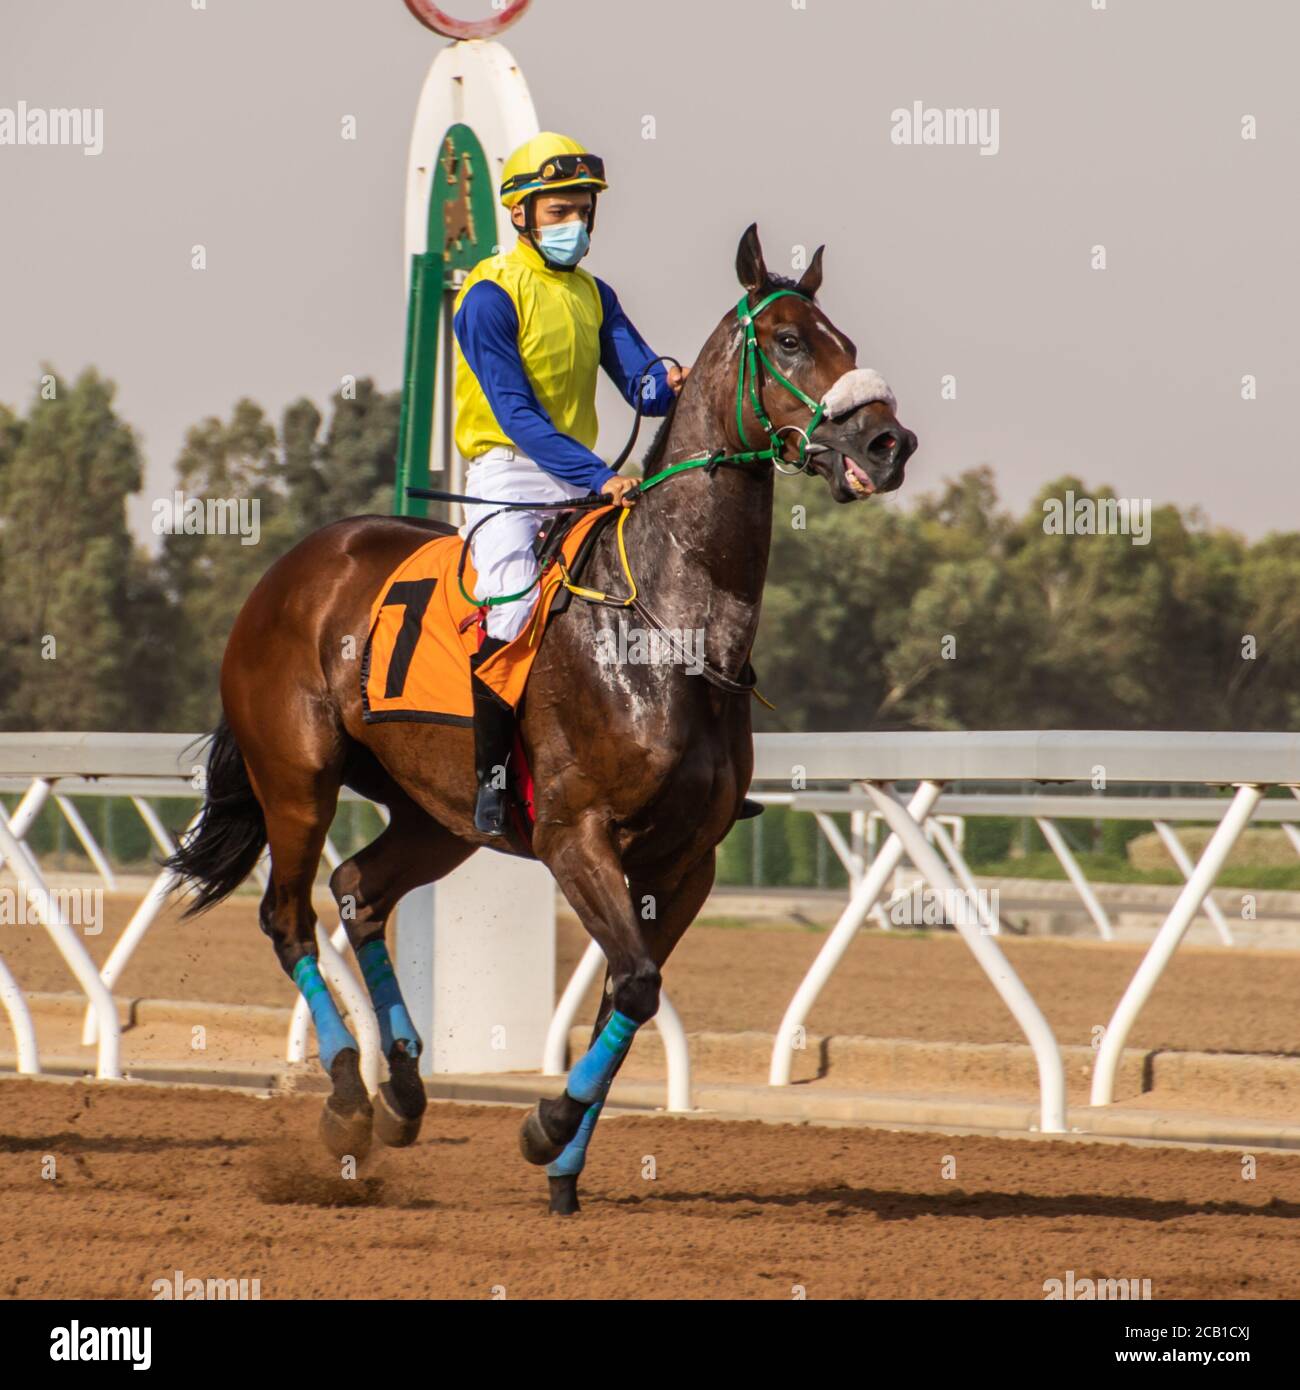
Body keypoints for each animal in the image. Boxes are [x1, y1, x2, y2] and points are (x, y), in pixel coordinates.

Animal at [166, 224, 917, 1215]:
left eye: (849, 342)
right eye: (790, 340)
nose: (890, 439)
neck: (666, 631)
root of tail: (288, 570)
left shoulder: (687, 863)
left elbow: (627, 998)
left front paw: (564, 1167)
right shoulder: (575, 834)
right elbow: (633, 985)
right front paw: (546, 1127)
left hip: (439, 814)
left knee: (360, 891)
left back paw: (403, 1090)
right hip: (297, 780)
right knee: (289, 918)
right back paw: (348, 1097)